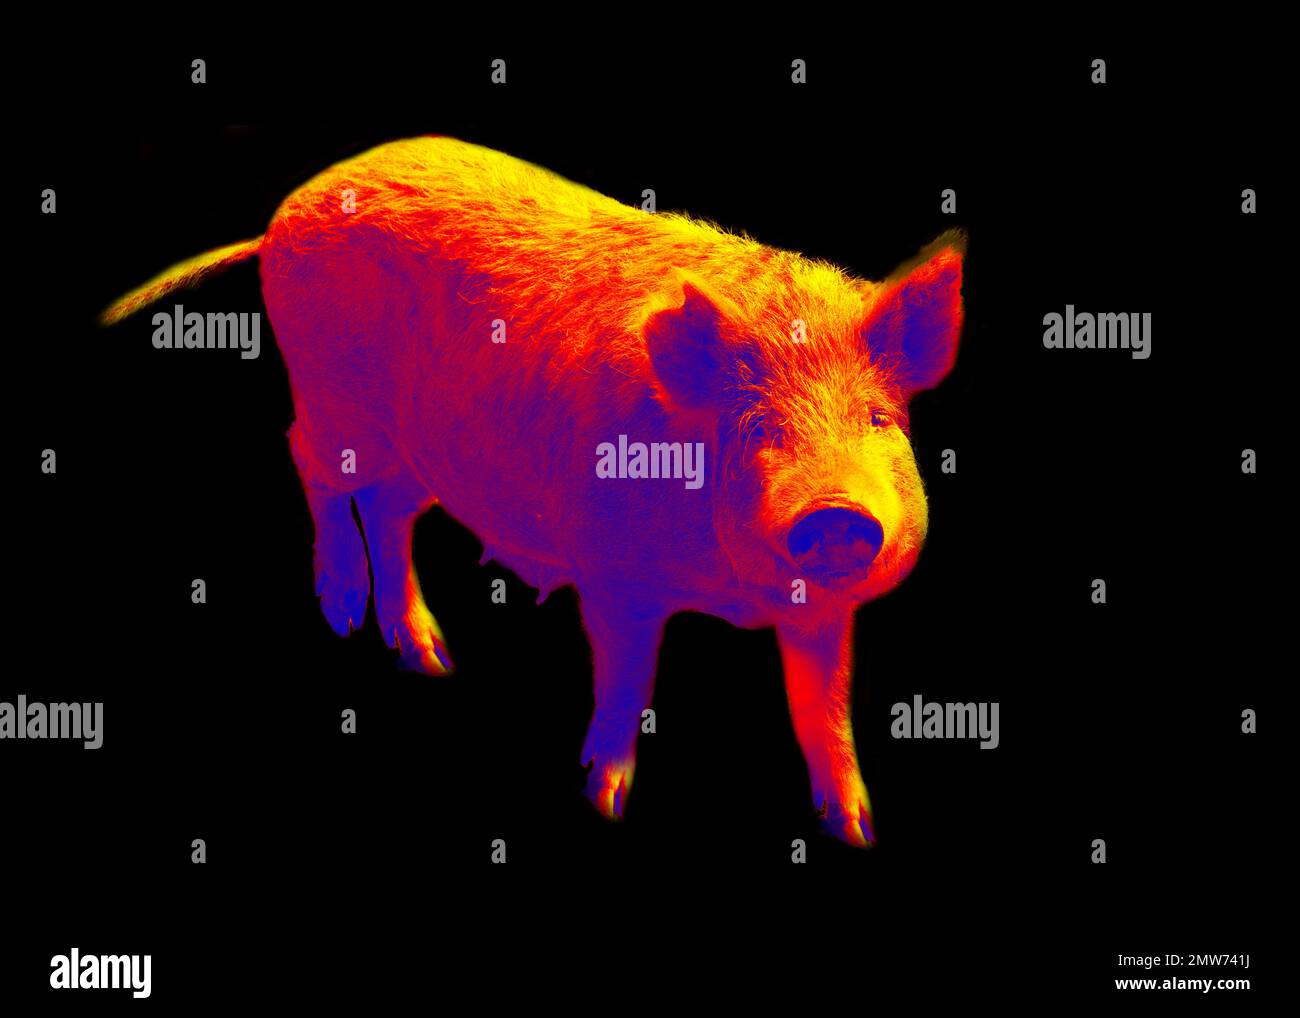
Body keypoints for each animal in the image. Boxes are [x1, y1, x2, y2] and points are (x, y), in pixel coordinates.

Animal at [101, 137, 965, 847]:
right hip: (330, 396)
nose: (838, 515)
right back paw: (344, 616)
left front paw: (856, 829)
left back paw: (430, 659)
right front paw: (604, 799)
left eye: (879, 417)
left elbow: (824, 709)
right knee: (307, 459)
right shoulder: (613, 570)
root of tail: (283, 215)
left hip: (424, 448)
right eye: (759, 428)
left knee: (386, 509)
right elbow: (626, 675)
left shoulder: (822, 611)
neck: (733, 592)